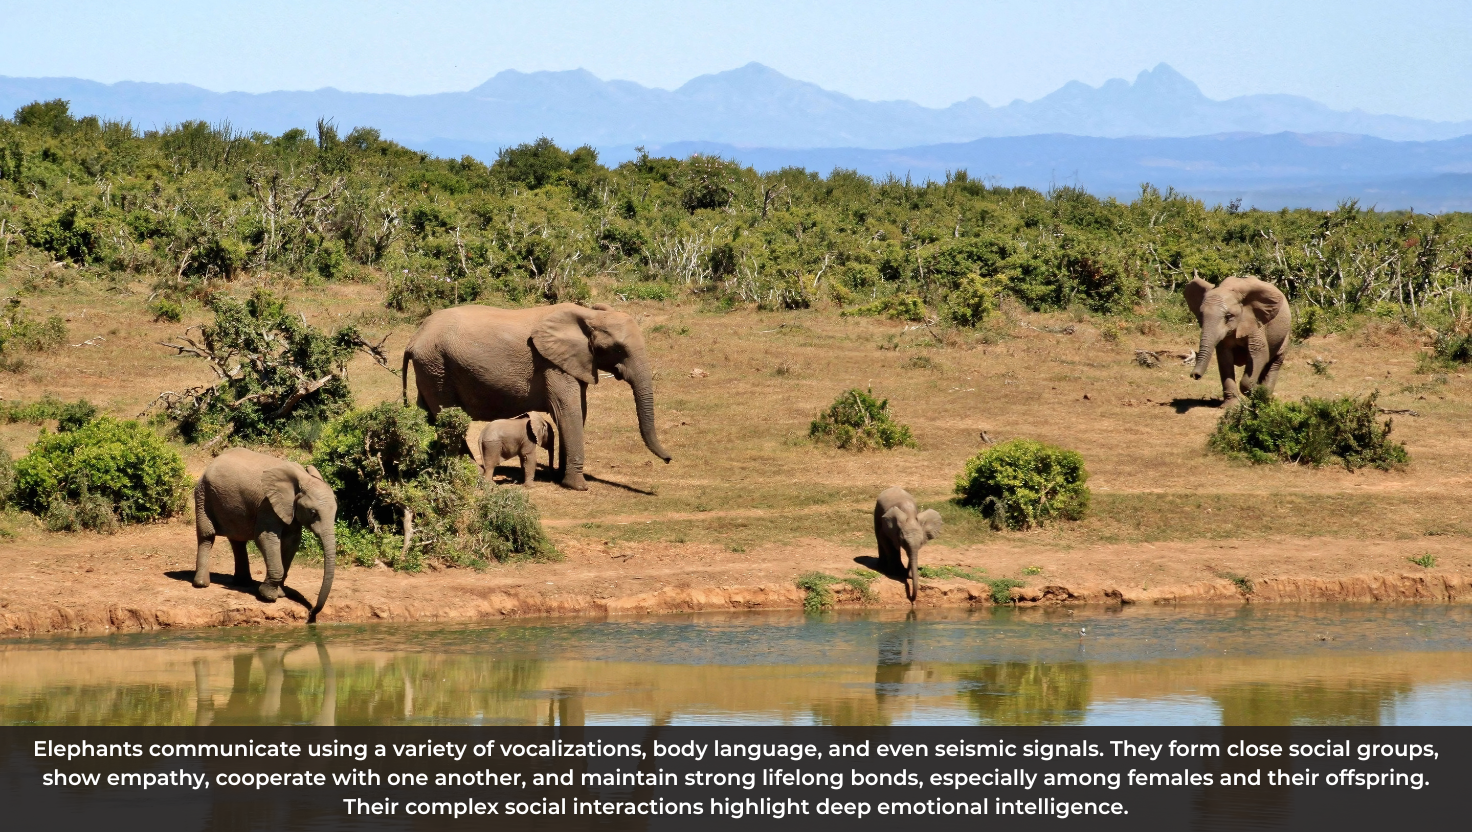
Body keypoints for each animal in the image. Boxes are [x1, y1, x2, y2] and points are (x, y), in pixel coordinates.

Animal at [191, 448, 337, 622]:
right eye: (313, 513)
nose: (311, 613)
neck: (302, 478)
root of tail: (212, 462)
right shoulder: (267, 504)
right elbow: (265, 538)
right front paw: (268, 597)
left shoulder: (290, 509)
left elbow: (291, 542)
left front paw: (280, 594)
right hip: (203, 494)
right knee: (207, 535)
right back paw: (201, 584)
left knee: (237, 540)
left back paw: (243, 583)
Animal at [402, 302, 671, 490]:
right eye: (617, 349)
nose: (669, 459)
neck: (587, 315)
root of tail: (414, 337)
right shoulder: (552, 364)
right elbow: (568, 411)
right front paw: (577, 486)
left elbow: (578, 412)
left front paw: (562, 477)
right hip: (437, 365)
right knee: (448, 417)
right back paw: (471, 471)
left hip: (429, 369)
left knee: (428, 415)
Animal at [1184, 276, 1291, 404]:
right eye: (1201, 315)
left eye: (1228, 316)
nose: (1195, 375)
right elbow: (1224, 358)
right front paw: (1231, 405)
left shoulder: (1255, 322)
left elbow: (1259, 353)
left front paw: (1258, 390)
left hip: (1286, 333)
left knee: (1276, 361)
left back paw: (1265, 396)